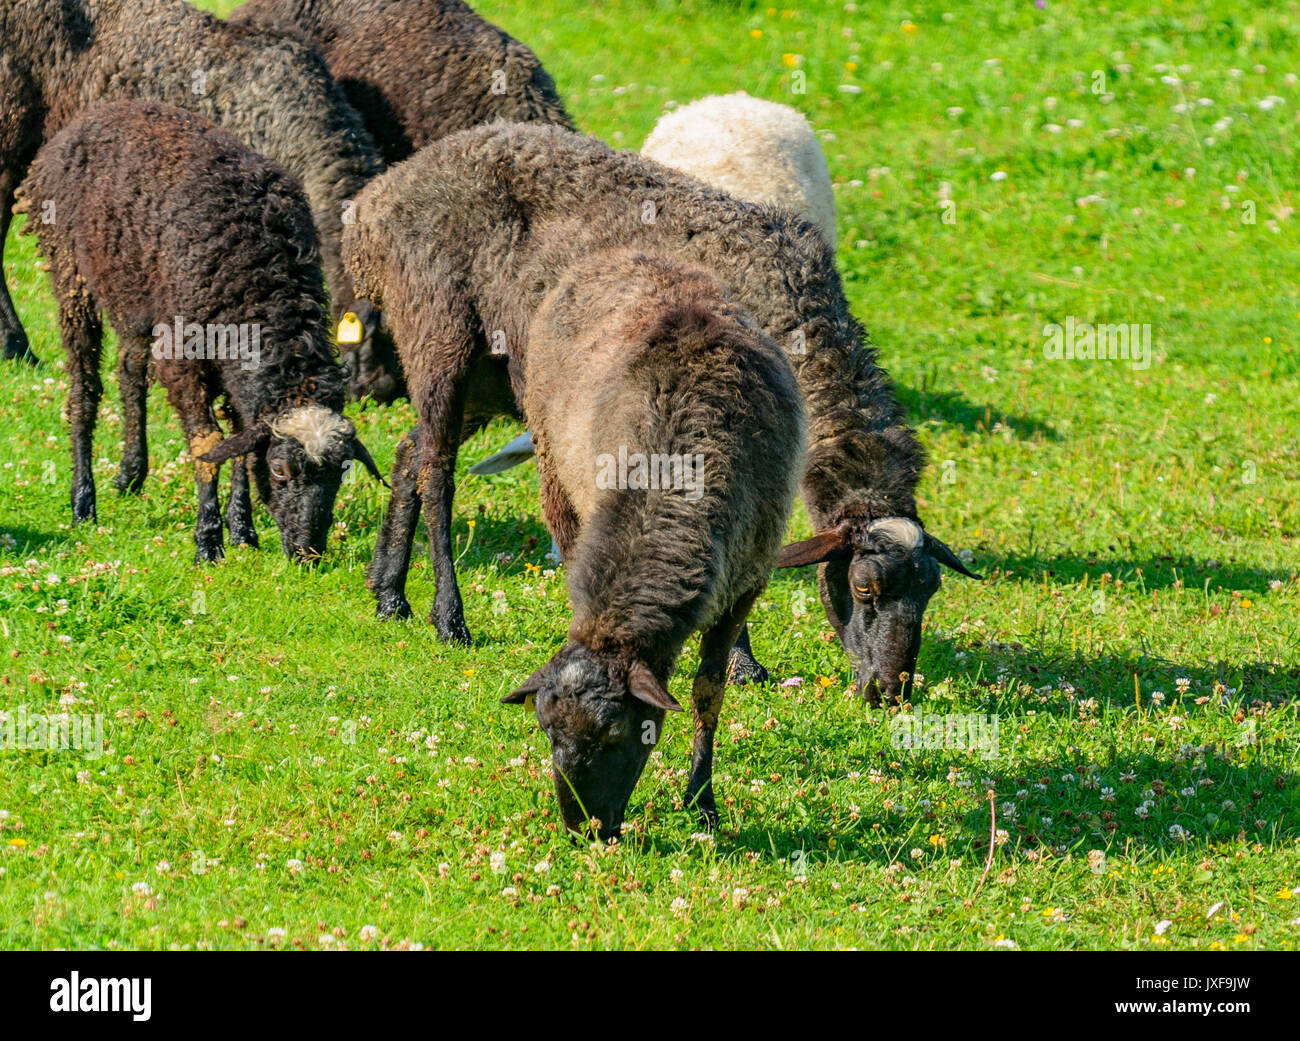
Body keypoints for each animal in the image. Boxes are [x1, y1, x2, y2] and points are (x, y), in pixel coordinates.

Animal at [15, 101, 381, 563]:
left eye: (340, 474)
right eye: (280, 471)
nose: (306, 554)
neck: (264, 282)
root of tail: (98, 114)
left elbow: (240, 442)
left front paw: (243, 531)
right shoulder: (183, 355)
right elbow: (208, 444)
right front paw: (209, 541)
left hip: (135, 294)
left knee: (129, 369)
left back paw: (129, 475)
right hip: (71, 274)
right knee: (84, 389)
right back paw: (83, 502)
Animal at [346, 122, 978, 705]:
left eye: (930, 592)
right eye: (865, 588)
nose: (890, 692)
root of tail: (377, 201)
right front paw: (743, 666)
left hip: (497, 373)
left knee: (410, 452)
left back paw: (388, 594)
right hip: (439, 331)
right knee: (438, 473)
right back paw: (449, 619)